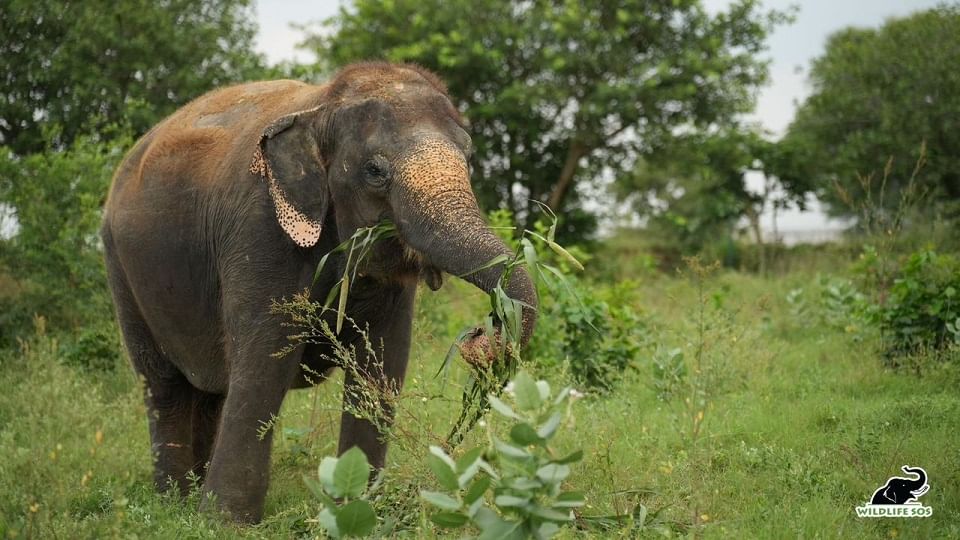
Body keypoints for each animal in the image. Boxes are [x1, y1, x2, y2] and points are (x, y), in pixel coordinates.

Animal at [100, 62, 537, 523]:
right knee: (163, 384)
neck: (323, 104)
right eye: (374, 171)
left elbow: (382, 363)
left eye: (469, 160)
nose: (484, 333)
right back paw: (174, 502)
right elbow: (265, 360)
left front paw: (357, 509)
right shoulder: (258, 229)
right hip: (120, 267)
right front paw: (225, 522)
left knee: (209, 390)